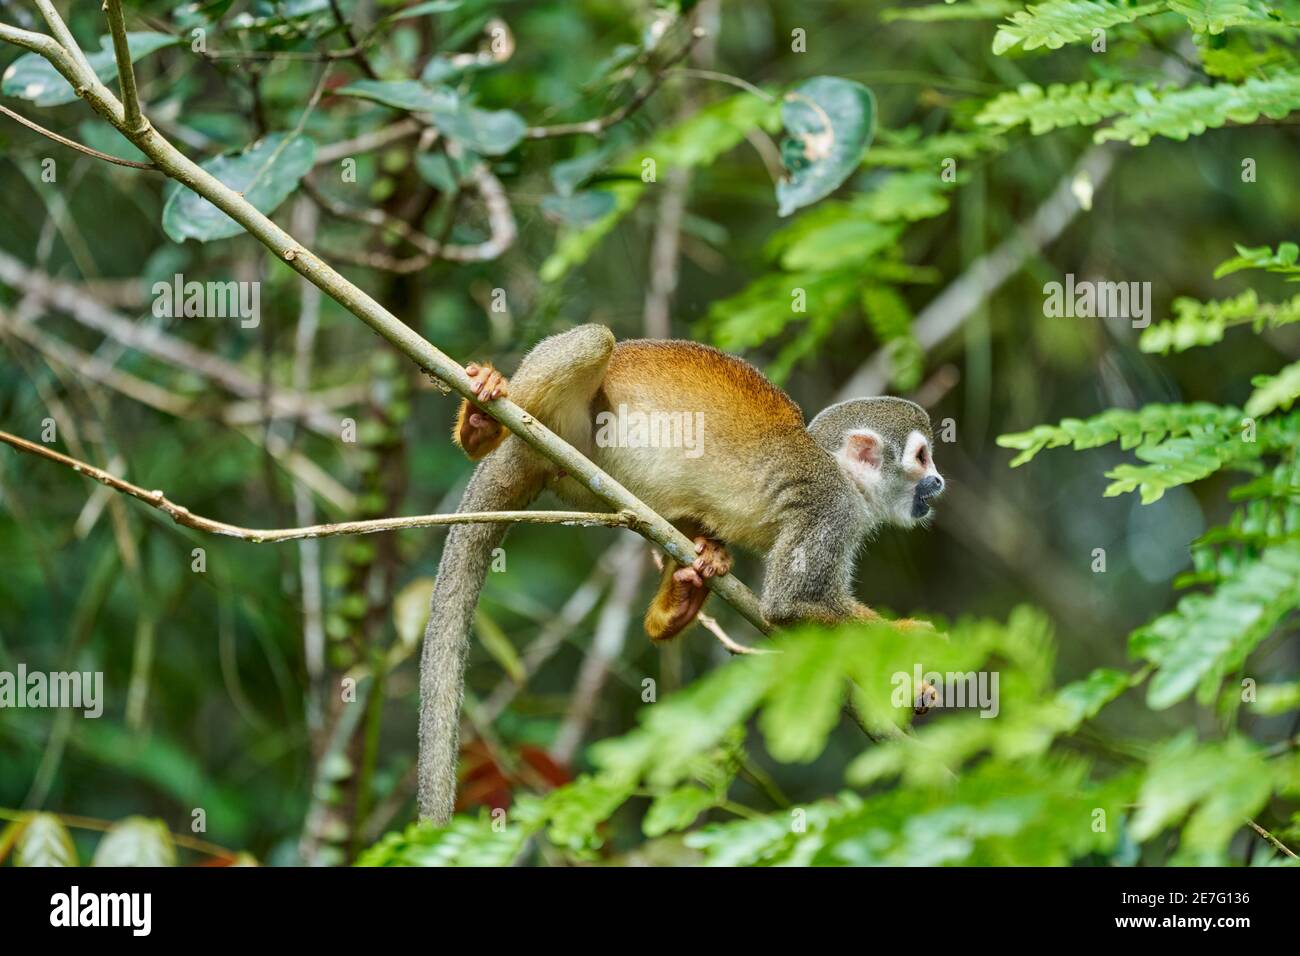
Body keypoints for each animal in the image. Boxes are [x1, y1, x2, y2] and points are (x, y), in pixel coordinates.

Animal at [419, 325, 944, 821]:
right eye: (921, 458)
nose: (938, 481)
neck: (840, 472)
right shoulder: (830, 505)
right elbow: (791, 603)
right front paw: (911, 644)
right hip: (563, 432)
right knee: (595, 339)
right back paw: (480, 425)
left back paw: (677, 599)